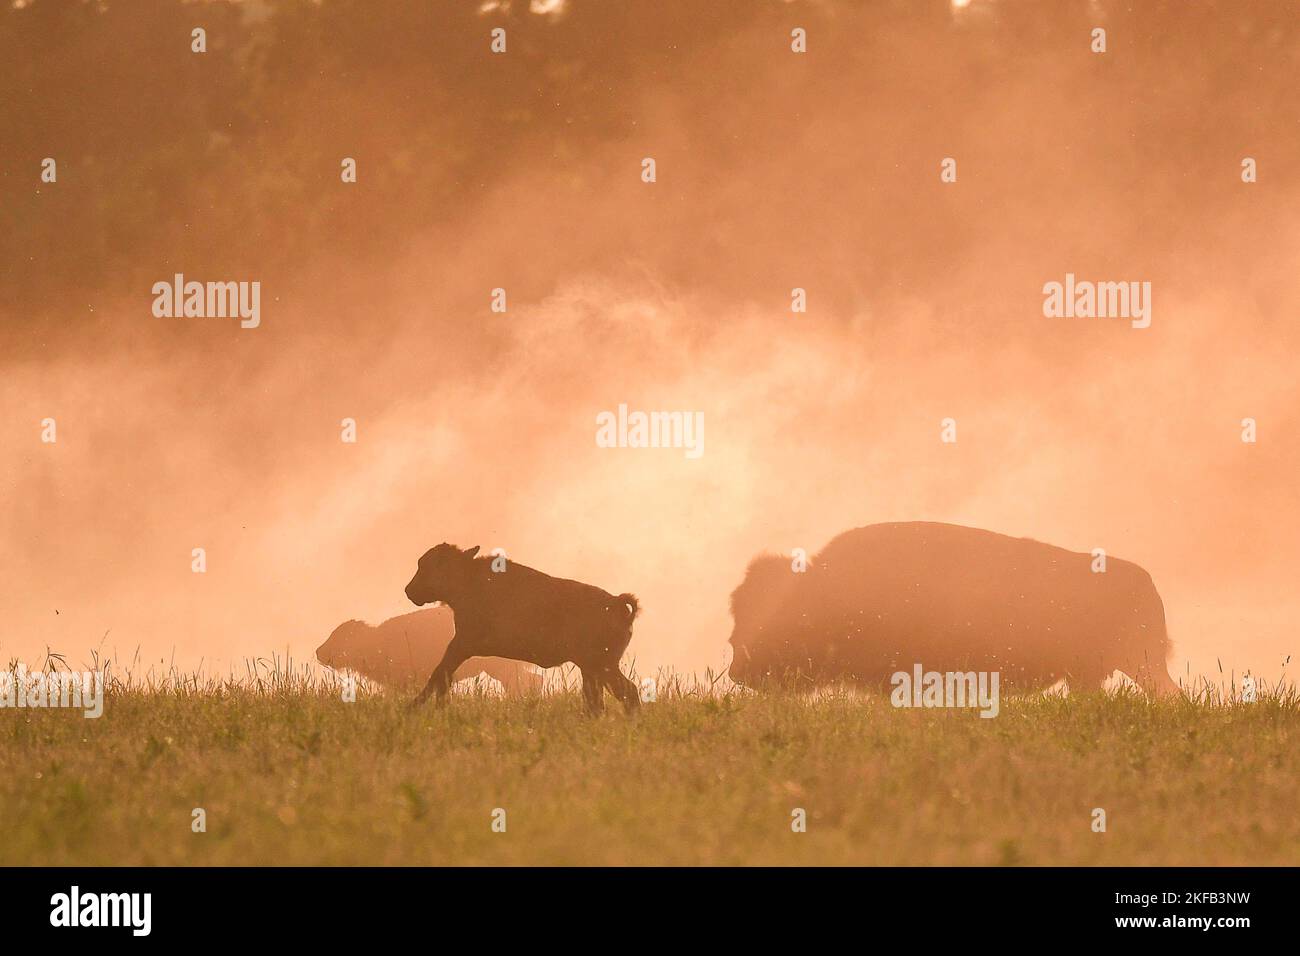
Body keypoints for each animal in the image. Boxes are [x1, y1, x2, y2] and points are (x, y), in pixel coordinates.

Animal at [405, 544, 641, 714]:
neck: (468, 579)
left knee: (627, 692)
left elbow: (438, 674)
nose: (409, 590)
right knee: (597, 701)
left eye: (426, 566)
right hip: (592, 669)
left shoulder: (461, 644)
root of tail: (617, 602)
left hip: (601, 667)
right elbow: (442, 677)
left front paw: (412, 707)